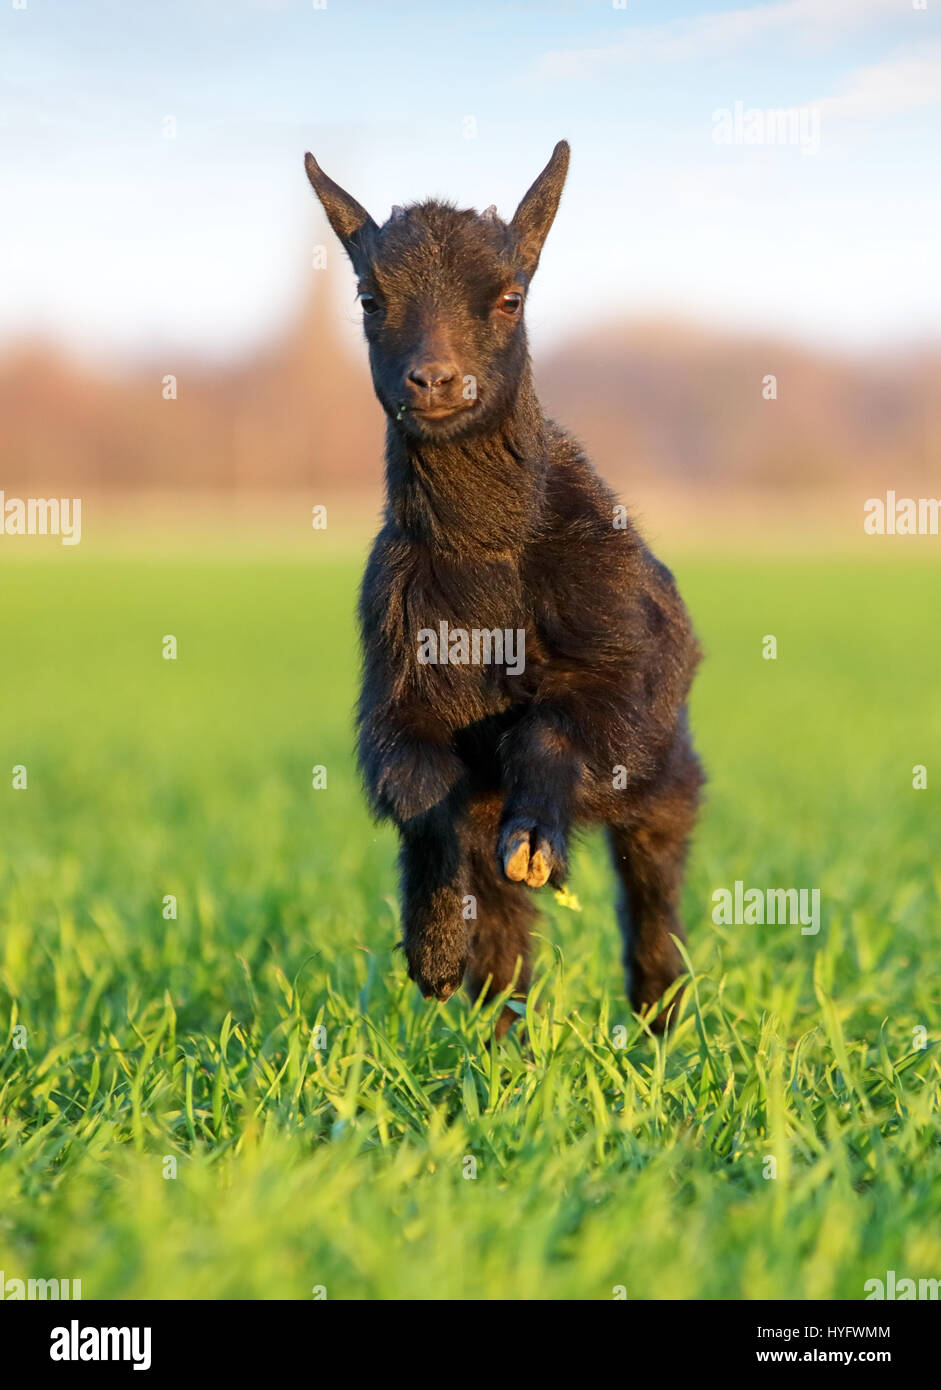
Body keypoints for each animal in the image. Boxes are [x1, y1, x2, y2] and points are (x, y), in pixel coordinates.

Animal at [305, 141, 704, 1035]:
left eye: (511, 296)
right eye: (370, 297)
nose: (435, 381)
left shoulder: (618, 677)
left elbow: (549, 733)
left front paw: (534, 842)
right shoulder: (399, 687)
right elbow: (424, 796)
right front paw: (431, 948)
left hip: (669, 780)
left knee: (652, 898)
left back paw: (658, 1025)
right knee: (507, 961)